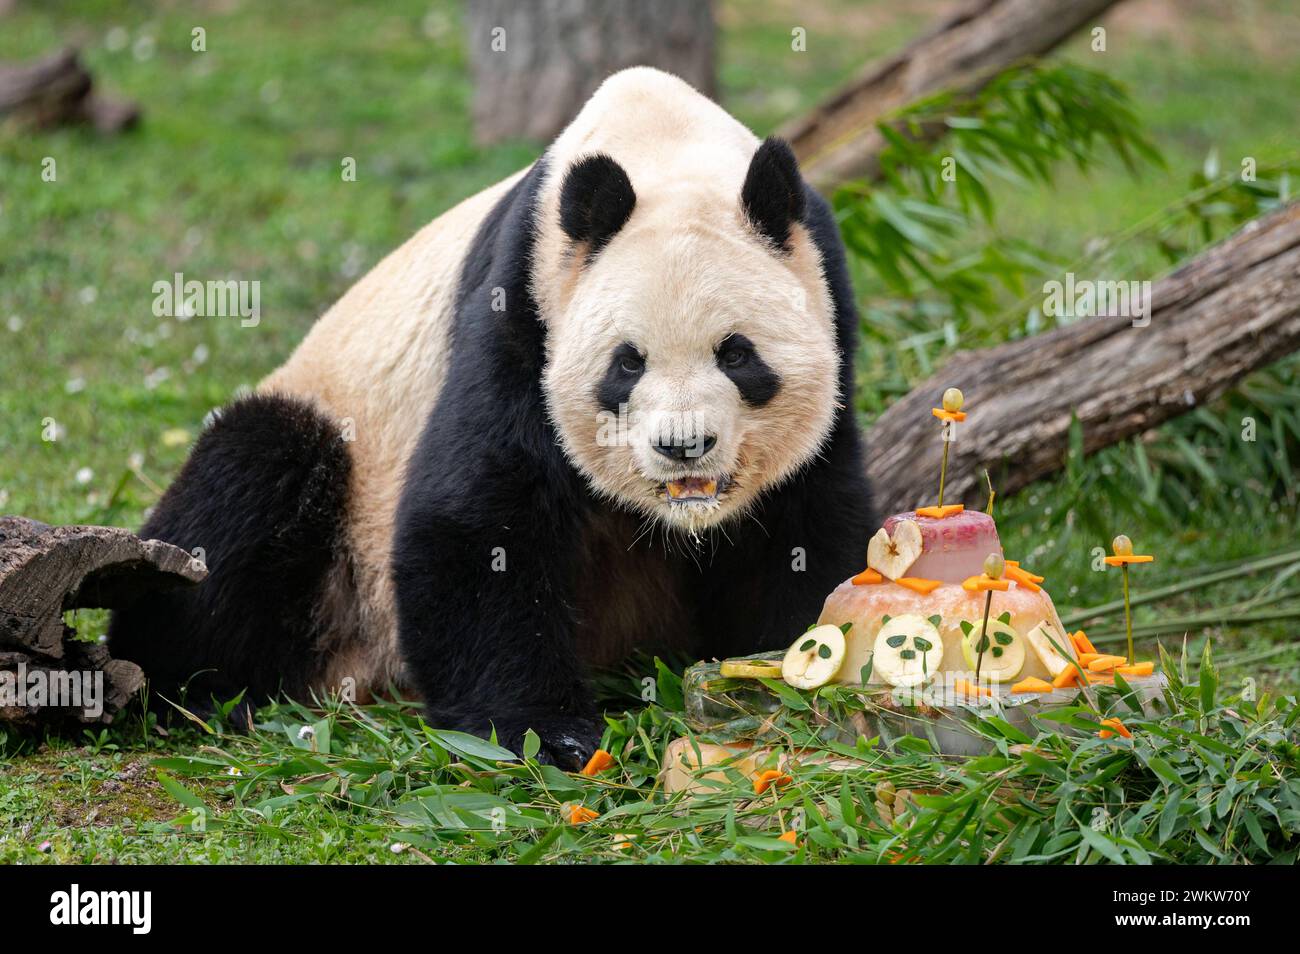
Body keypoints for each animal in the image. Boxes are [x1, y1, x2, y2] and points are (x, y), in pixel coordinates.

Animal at [109, 67, 873, 768]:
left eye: (736, 354)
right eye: (627, 364)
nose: (684, 447)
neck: (664, 145)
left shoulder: (830, 297)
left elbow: (806, 515)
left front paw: (795, 666)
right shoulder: (522, 307)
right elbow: (479, 515)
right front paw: (546, 735)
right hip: (338, 475)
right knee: (251, 481)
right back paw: (187, 690)